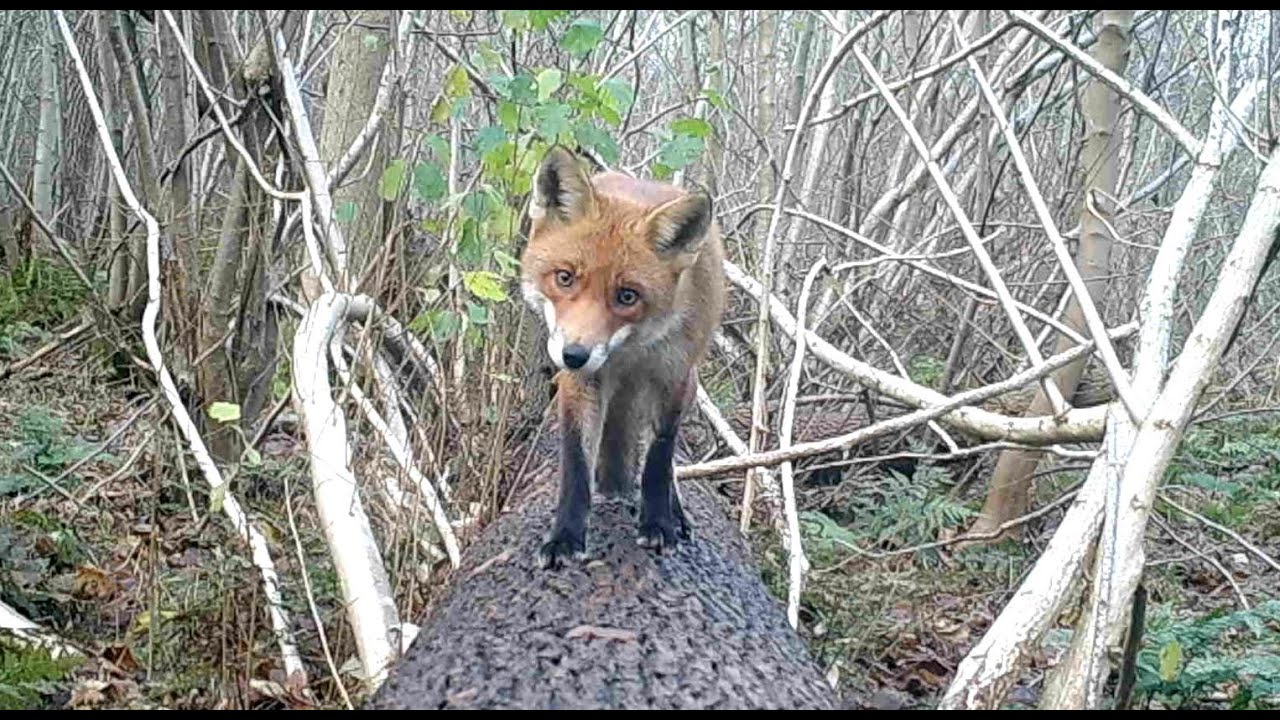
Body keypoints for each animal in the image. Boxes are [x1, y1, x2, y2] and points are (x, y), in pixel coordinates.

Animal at [519, 146, 726, 569]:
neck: (629, 352)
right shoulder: (580, 383)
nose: (574, 354)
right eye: (564, 278)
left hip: (690, 382)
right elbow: (576, 463)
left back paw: (676, 513)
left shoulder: (674, 376)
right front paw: (565, 536)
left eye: (627, 296)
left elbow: (659, 458)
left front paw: (659, 523)